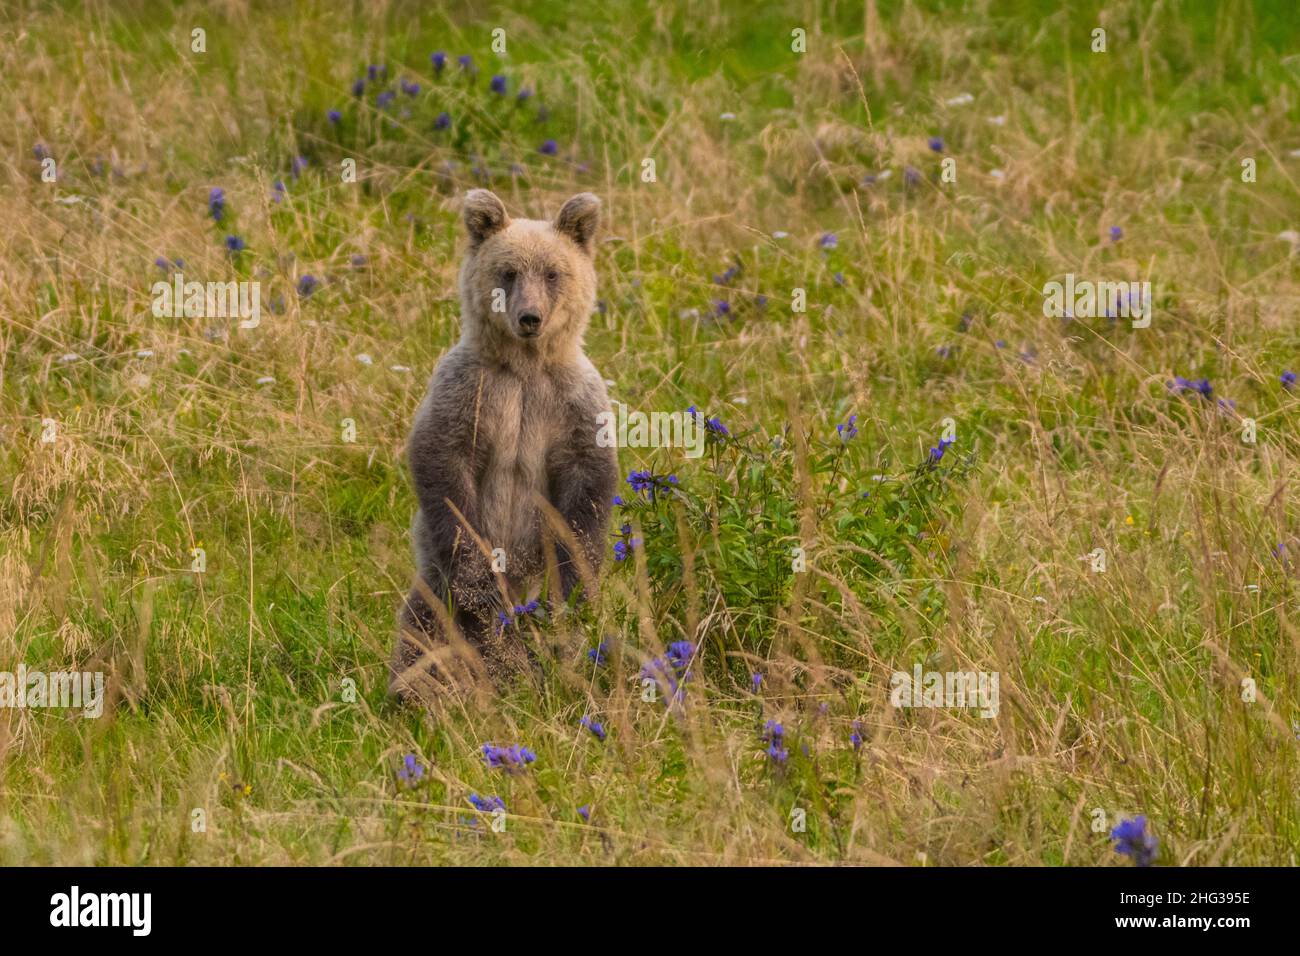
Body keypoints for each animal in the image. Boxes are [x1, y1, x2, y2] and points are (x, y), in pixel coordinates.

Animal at [390, 189, 618, 701]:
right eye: (509, 271)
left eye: (552, 272)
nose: (530, 317)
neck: (524, 366)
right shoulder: (470, 394)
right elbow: (444, 469)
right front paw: (480, 583)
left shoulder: (571, 403)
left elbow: (586, 491)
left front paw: (574, 589)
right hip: (433, 578)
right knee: (423, 626)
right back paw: (415, 689)